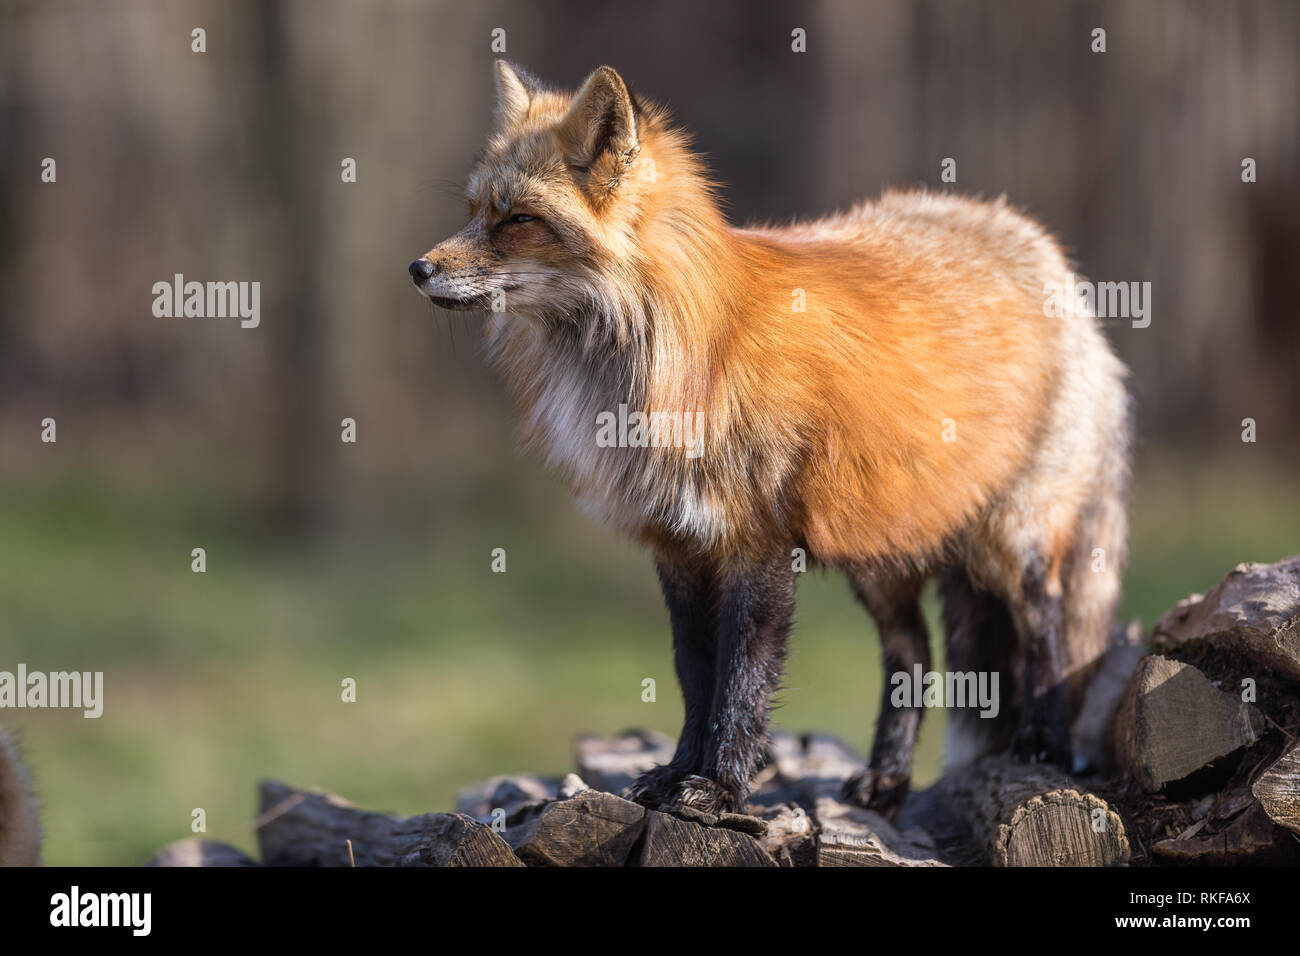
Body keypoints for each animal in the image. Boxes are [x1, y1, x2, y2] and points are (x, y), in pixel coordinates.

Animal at [410, 62, 1131, 819]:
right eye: (472, 211)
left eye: (518, 219)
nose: (418, 269)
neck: (673, 359)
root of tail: (1035, 241)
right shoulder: (679, 547)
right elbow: (695, 678)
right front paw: (676, 774)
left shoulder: (757, 545)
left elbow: (742, 684)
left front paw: (721, 787)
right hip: (879, 551)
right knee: (913, 652)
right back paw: (887, 778)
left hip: (1013, 536)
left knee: (1044, 624)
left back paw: (1043, 740)